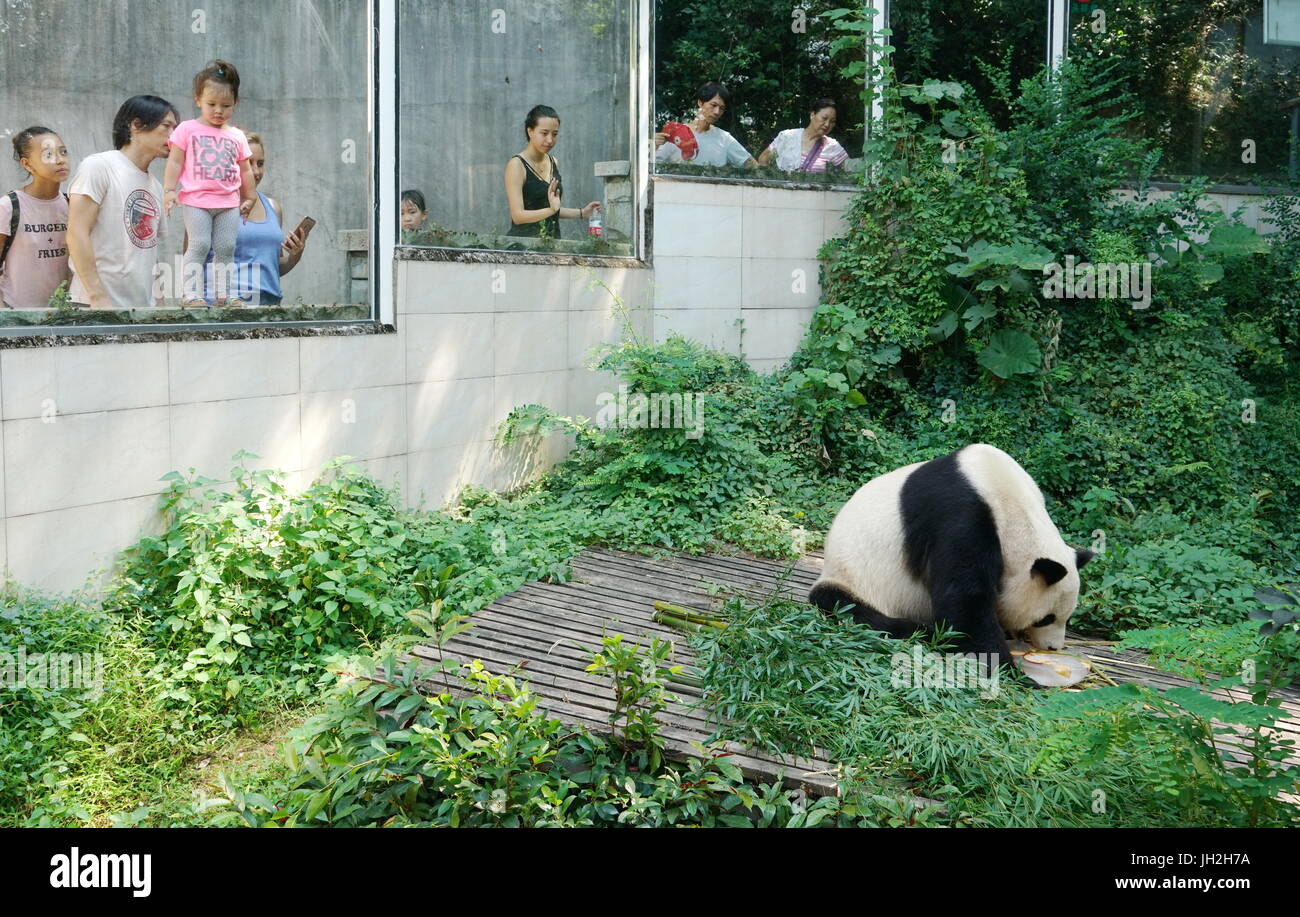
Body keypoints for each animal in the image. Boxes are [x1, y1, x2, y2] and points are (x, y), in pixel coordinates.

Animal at [809, 444, 1094, 672]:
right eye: (1046, 618)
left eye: (1067, 616)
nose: (1054, 647)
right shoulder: (960, 516)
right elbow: (964, 597)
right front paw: (1006, 667)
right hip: (854, 577)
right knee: (850, 608)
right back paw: (923, 630)